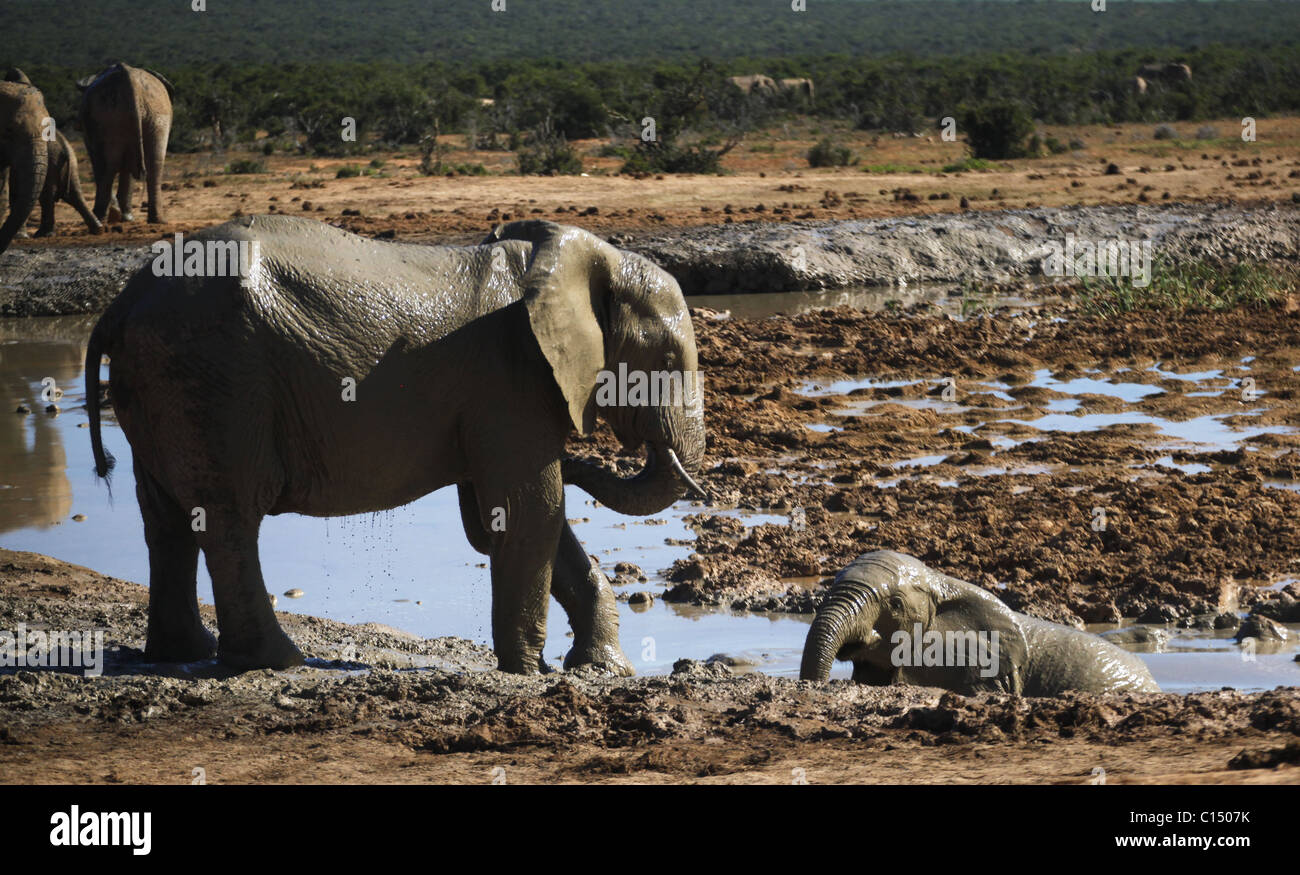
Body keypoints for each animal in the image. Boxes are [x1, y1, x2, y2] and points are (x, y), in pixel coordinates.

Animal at [77, 62, 173, 224]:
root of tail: (129, 78)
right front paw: (126, 217)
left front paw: (122, 216)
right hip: (157, 114)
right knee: (155, 163)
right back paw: (157, 220)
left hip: (110, 117)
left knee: (108, 166)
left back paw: (100, 217)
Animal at [85, 216, 708, 674]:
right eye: (667, 361)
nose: (582, 457)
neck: (576, 260)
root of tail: (119, 305)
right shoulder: (512, 380)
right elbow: (531, 508)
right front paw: (530, 672)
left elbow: (508, 517)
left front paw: (600, 670)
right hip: (214, 378)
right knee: (228, 516)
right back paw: (277, 661)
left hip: (165, 382)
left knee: (167, 518)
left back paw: (182, 654)